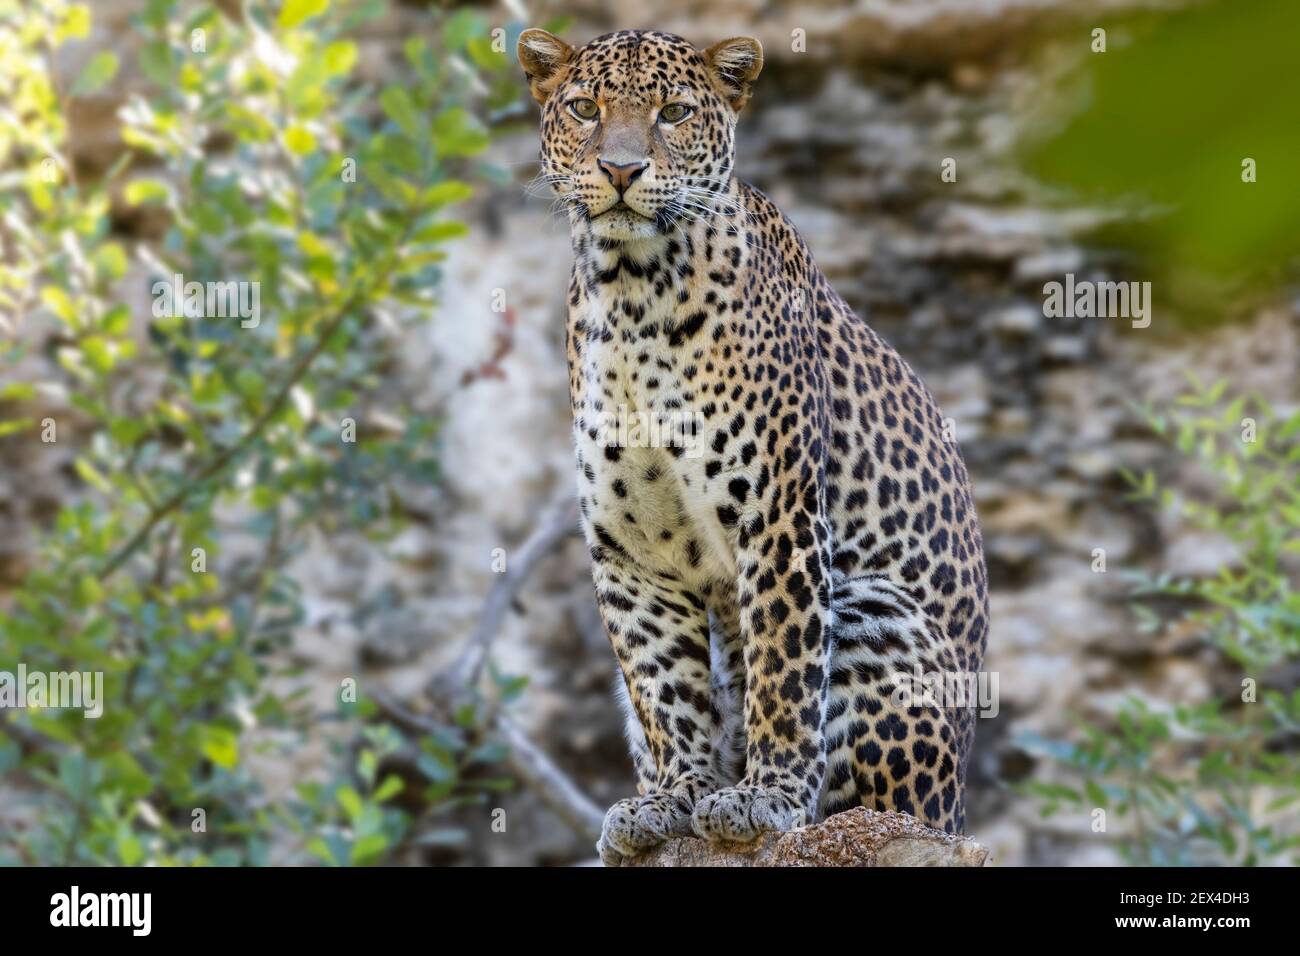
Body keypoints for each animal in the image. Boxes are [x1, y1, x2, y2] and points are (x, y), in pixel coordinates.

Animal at [517, 28, 989, 865]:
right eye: (585, 109)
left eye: (673, 113)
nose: (621, 170)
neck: (633, 289)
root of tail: (958, 810)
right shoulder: (631, 547)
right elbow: (662, 686)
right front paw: (670, 799)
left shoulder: (781, 519)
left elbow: (783, 671)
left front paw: (765, 798)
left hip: (874, 616)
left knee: (879, 802)